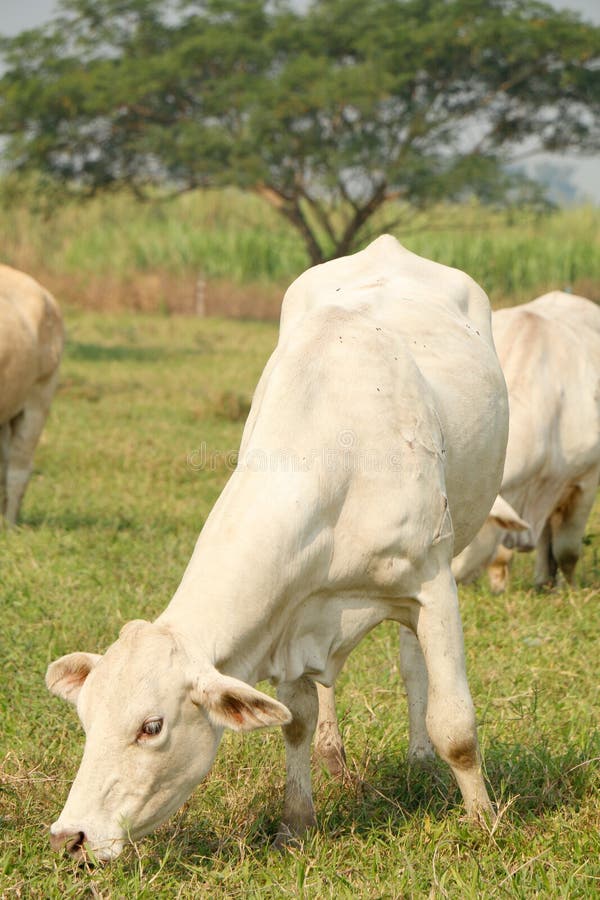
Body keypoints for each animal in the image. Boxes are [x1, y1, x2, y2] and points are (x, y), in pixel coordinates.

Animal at [46, 236, 508, 862]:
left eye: (152, 726)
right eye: (86, 719)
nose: (70, 835)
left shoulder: (433, 584)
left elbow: (455, 725)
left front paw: (484, 822)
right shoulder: (292, 611)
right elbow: (297, 718)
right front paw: (296, 819)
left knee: (415, 663)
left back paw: (419, 759)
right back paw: (337, 758)